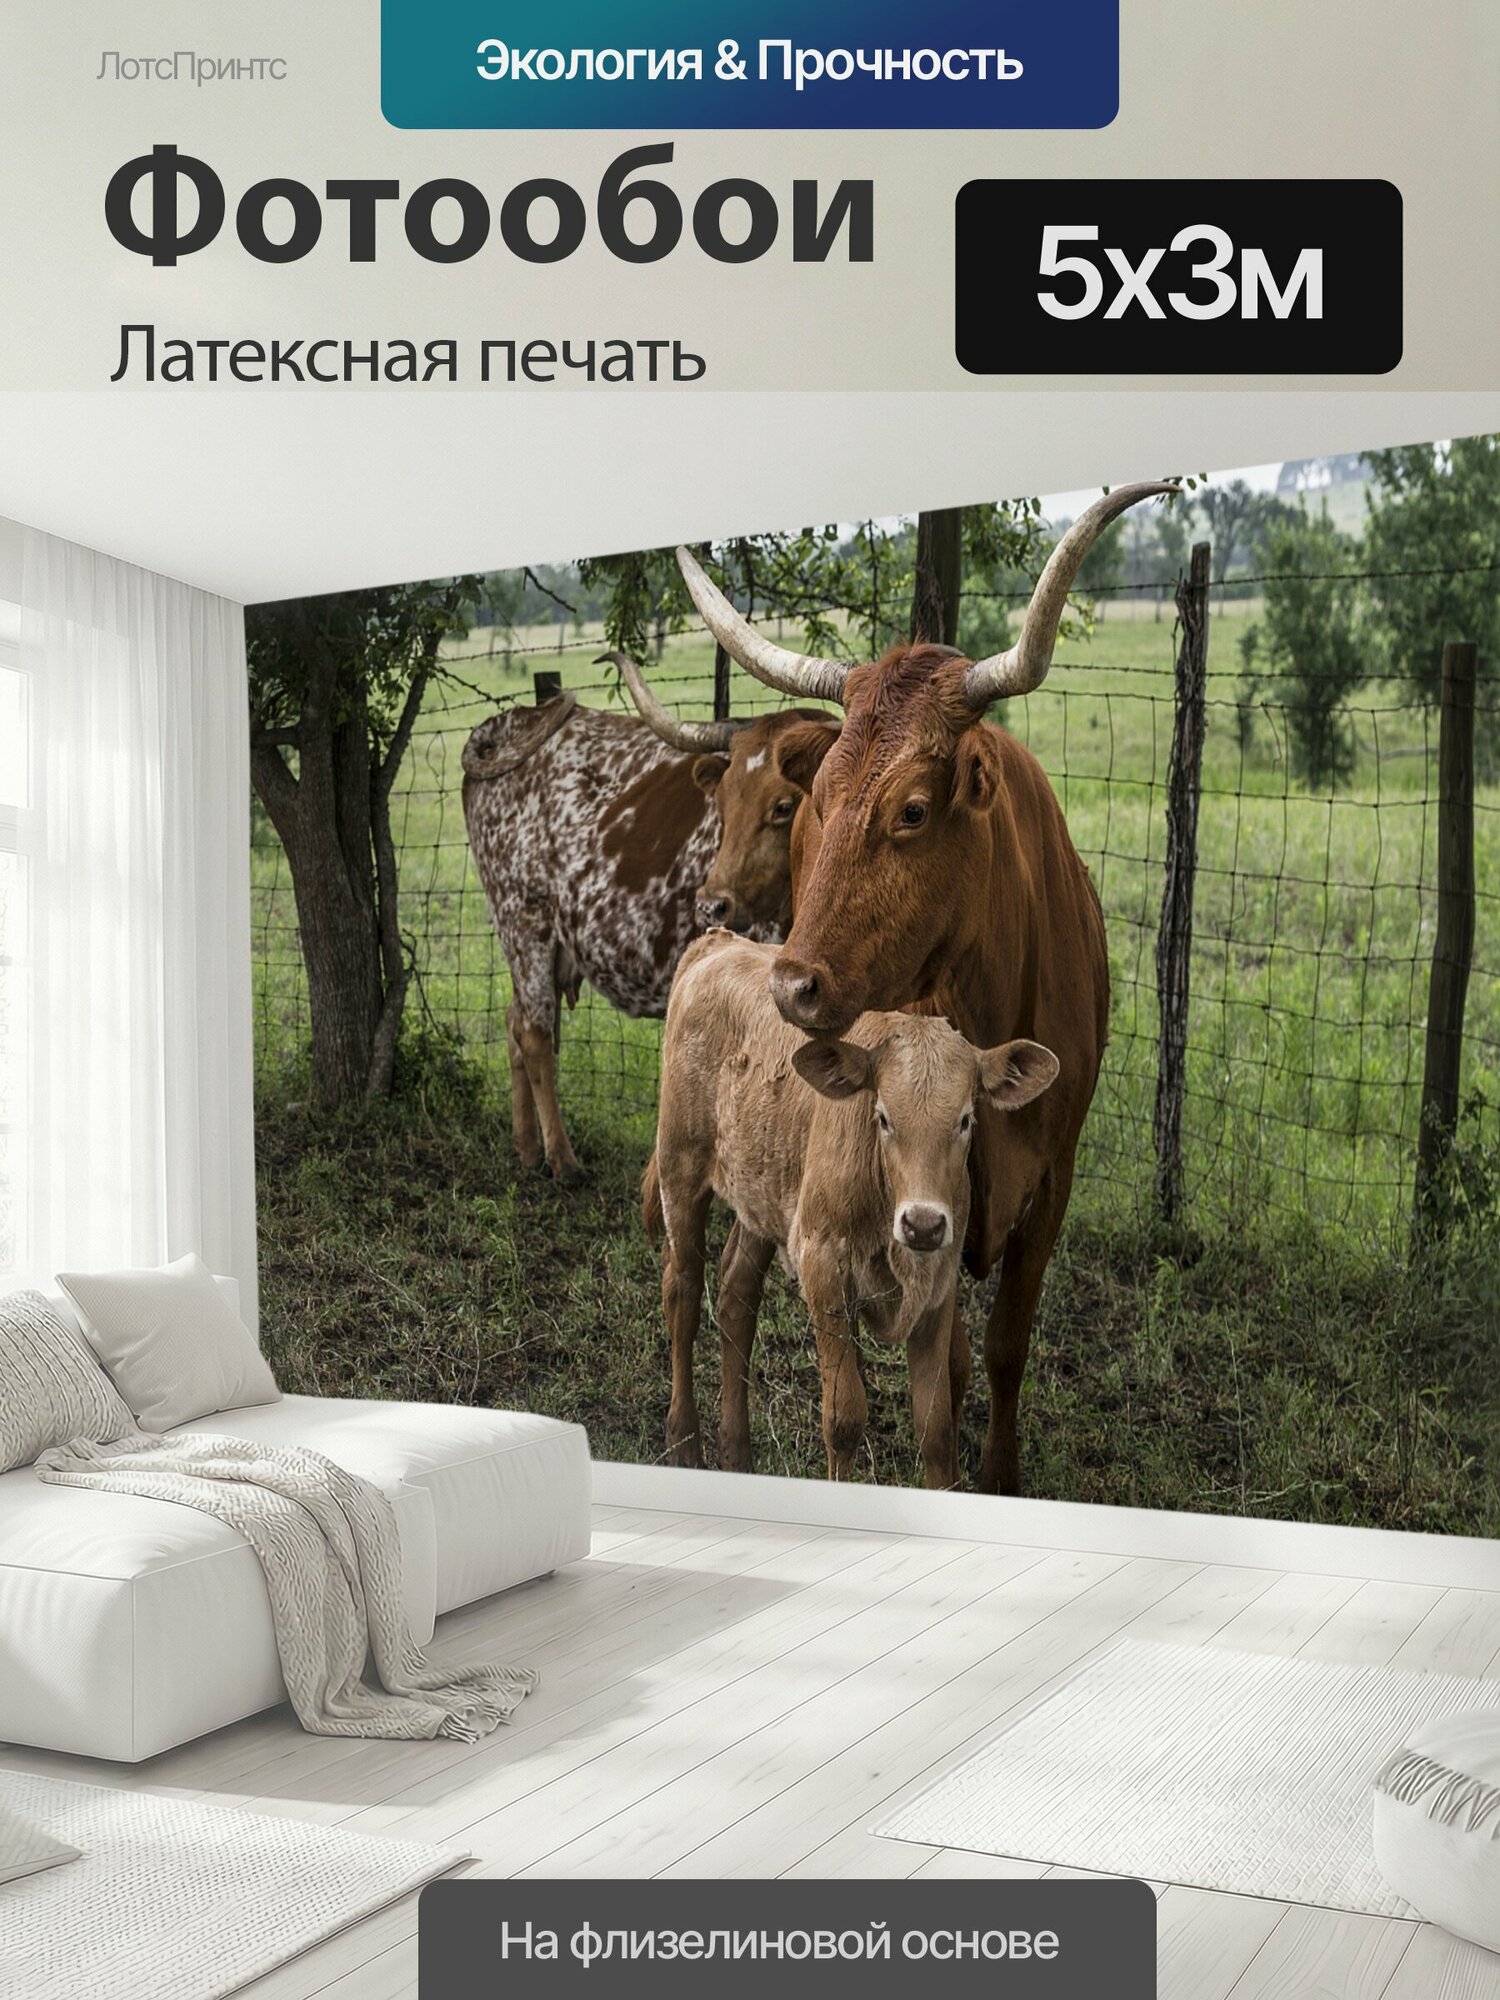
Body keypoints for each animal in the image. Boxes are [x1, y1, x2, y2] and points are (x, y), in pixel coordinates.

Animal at [461, 661, 839, 1184]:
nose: (712, 906)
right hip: (524, 918)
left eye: (784, 806)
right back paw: (562, 1159)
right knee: (536, 1034)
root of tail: (507, 722)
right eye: (721, 805)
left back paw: (528, 1150)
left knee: (516, 1022)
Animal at [645, 930, 1058, 1485]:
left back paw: (736, 1453)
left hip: (764, 1195)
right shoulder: (822, 1262)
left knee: (736, 1296)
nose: (923, 1223)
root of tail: (719, 942)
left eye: (966, 1119)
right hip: (681, 1168)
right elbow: (844, 1418)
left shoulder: (937, 1285)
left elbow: (935, 1427)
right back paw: (684, 1443)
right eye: (882, 1117)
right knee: (683, 1292)